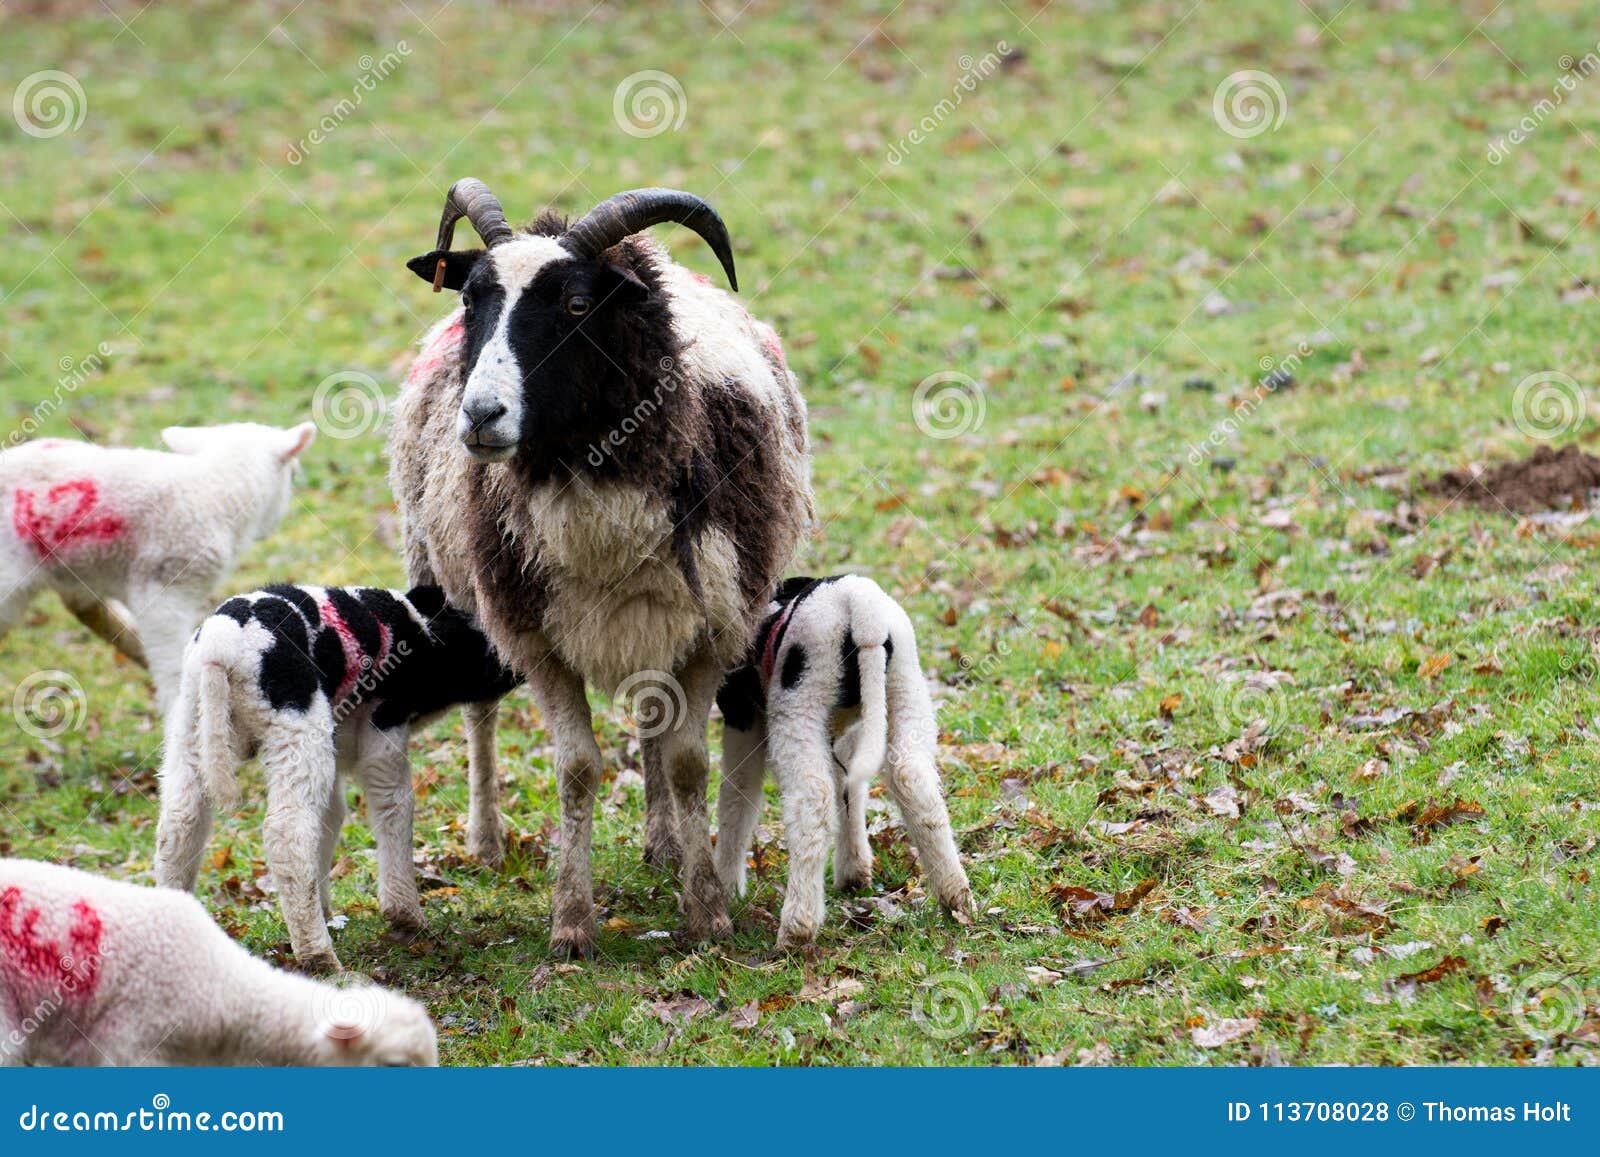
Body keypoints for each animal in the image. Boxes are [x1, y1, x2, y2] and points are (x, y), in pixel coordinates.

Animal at [153, 583, 520, 972]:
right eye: (486, 642)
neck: (422, 626)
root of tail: (221, 644)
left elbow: (331, 818)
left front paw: (326, 908)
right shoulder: (384, 722)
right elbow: (394, 805)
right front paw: (406, 916)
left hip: (192, 728)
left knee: (180, 824)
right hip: (296, 725)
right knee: (288, 833)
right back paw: (319, 956)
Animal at [389, 179, 813, 958]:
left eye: (578, 305)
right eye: (473, 300)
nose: (480, 415)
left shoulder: (712, 624)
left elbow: (685, 762)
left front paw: (706, 909)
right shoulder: (536, 636)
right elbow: (578, 769)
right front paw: (571, 923)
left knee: (651, 717)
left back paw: (664, 846)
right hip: (442, 570)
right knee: (480, 709)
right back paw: (487, 839)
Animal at [714, 575, 971, 946]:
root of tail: (860, 606)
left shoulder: (742, 720)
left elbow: (736, 798)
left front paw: (726, 887)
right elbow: (848, 791)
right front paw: (854, 871)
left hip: (800, 702)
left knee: (812, 801)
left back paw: (796, 928)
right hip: (906, 687)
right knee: (914, 782)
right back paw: (956, 900)